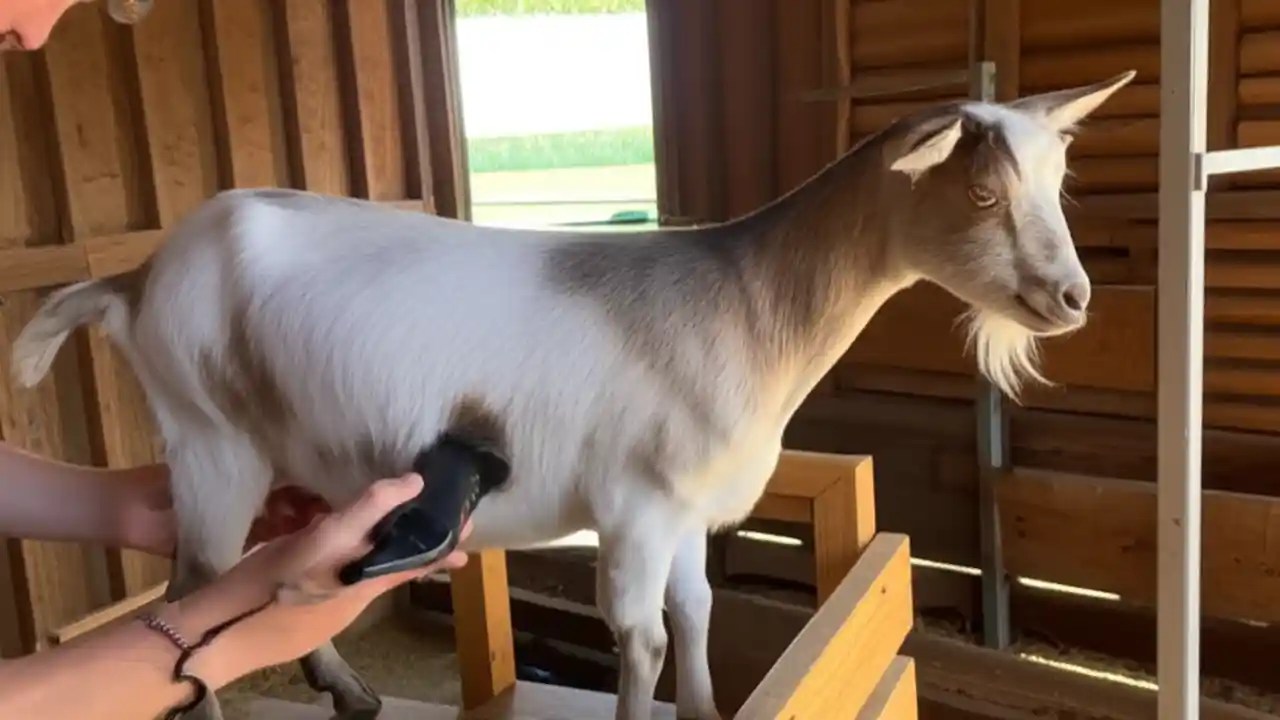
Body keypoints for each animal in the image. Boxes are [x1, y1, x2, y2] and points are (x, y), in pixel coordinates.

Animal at [10, 71, 1133, 720]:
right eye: (981, 193)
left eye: (1057, 184)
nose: (1072, 299)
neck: (742, 300)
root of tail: (135, 281)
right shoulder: (632, 508)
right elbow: (639, 638)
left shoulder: (685, 510)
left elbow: (695, 612)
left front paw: (702, 709)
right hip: (211, 437)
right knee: (189, 594)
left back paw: (351, 690)